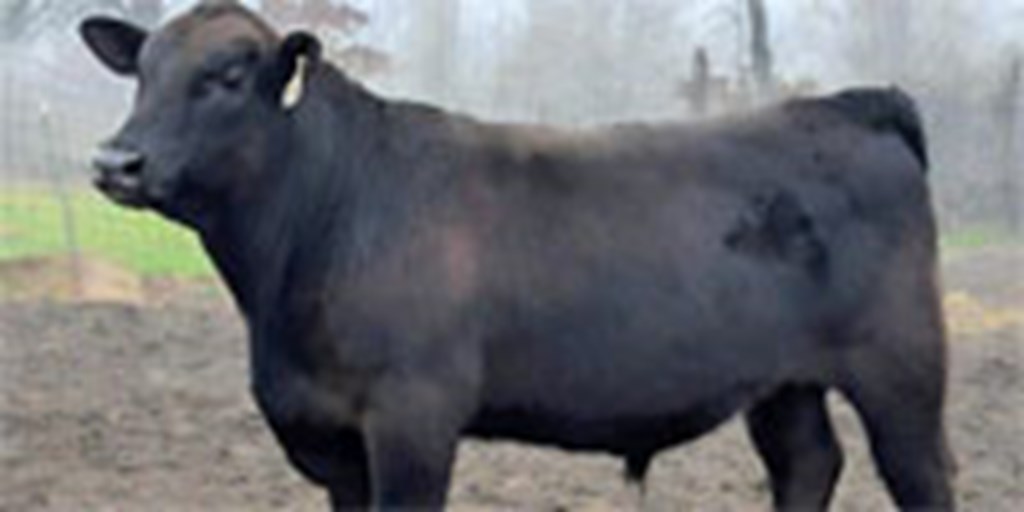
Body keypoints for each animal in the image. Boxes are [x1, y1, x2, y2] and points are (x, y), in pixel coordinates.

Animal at [79, 1, 955, 510]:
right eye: (141, 73)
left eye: (227, 76)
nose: (116, 161)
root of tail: (850, 107)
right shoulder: (328, 433)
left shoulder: (412, 418)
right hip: (783, 382)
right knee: (807, 463)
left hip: (901, 368)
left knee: (920, 472)